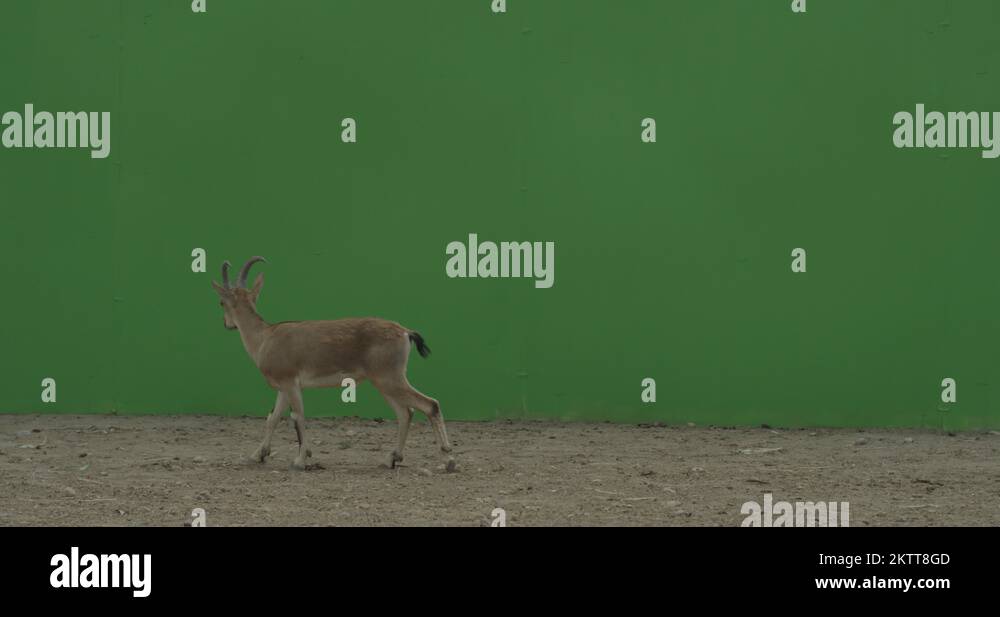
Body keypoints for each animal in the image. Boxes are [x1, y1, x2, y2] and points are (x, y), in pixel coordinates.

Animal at [212, 256, 455, 472]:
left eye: (221, 302)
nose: (227, 324)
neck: (265, 338)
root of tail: (405, 332)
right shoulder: (283, 387)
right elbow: (272, 418)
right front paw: (257, 455)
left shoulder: (290, 382)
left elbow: (297, 417)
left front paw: (300, 460)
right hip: (385, 380)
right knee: (406, 413)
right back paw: (390, 459)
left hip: (389, 377)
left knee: (429, 405)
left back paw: (449, 460)